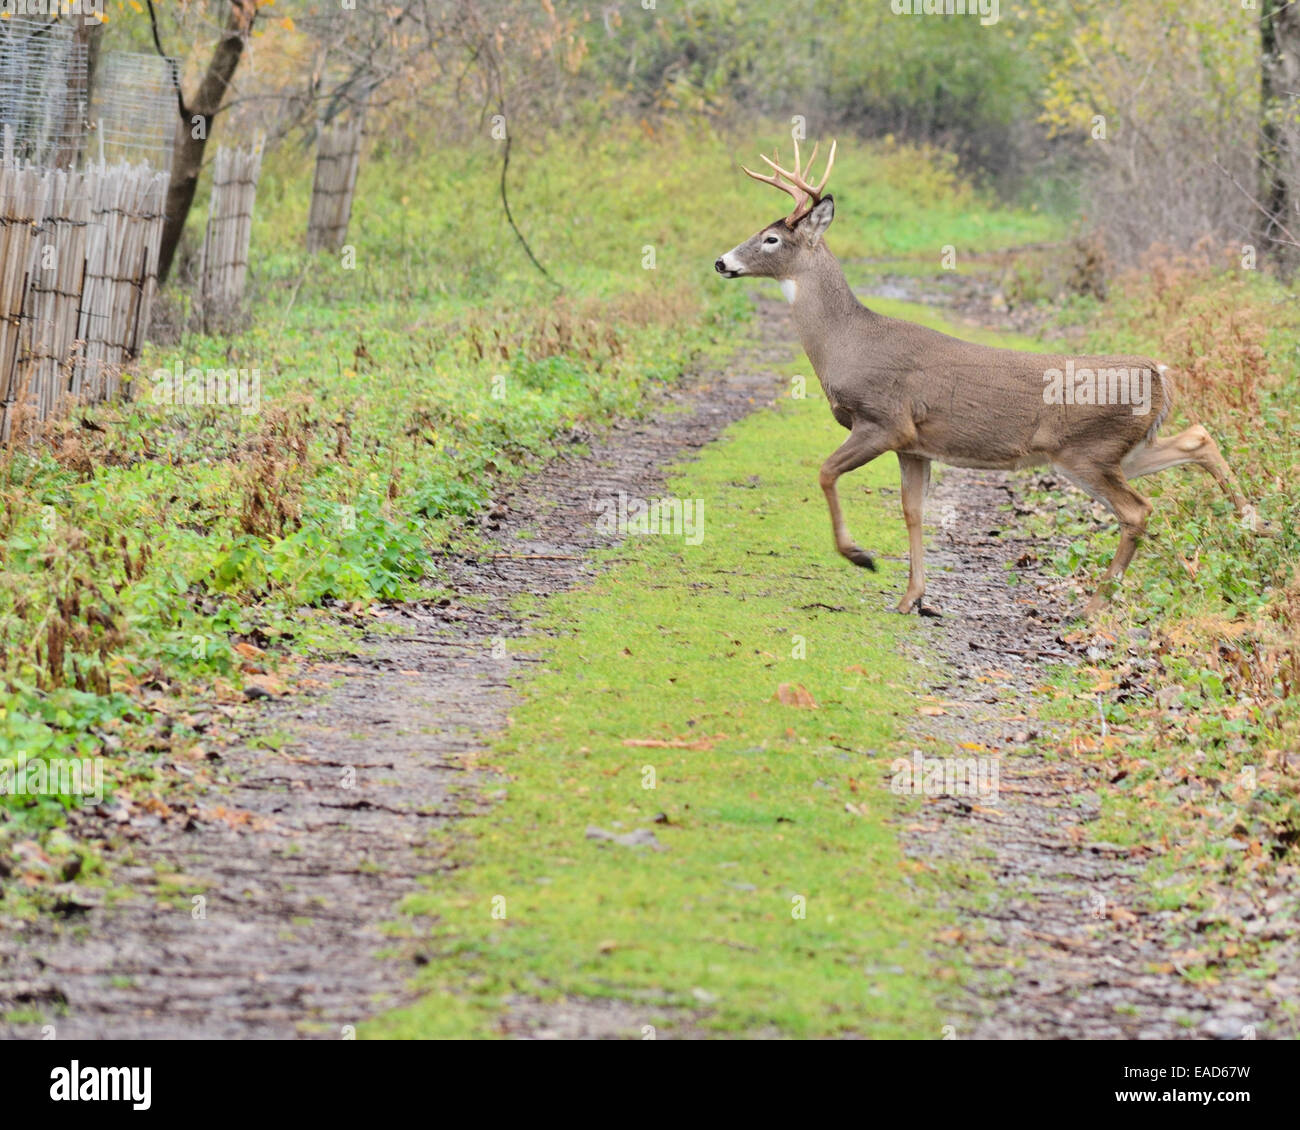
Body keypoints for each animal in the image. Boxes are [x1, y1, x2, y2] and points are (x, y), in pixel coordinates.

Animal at [714, 139, 1268, 618]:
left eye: (771, 238)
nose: (721, 261)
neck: (845, 342)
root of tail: (1159, 373)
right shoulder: (915, 445)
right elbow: (913, 511)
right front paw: (912, 597)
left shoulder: (884, 421)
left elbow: (826, 473)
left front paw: (861, 556)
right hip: (1122, 448)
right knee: (1197, 438)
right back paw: (1252, 523)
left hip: (1085, 451)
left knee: (1137, 509)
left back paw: (1094, 604)